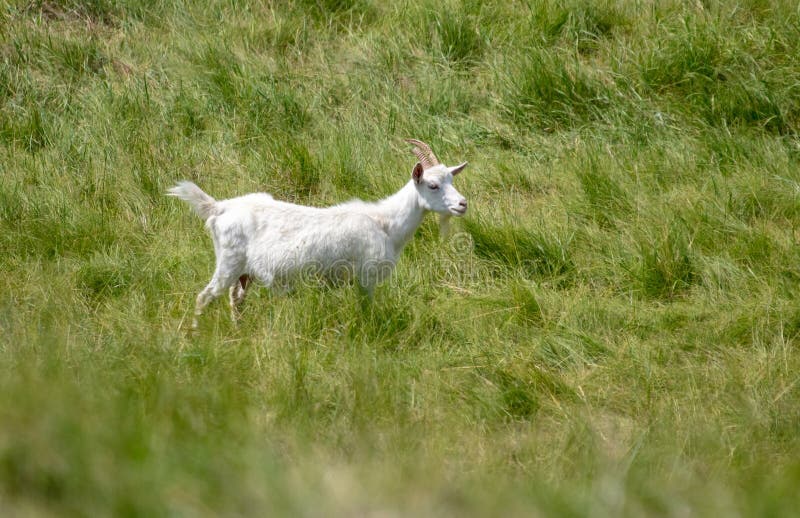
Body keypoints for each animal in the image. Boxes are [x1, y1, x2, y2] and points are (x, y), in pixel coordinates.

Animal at [168, 139, 468, 329]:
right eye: (432, 185)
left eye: (452, 180)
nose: (463, 204)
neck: (385, 223)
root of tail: (220, 207)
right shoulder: (366, 277)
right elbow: (366, 310)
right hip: (228, 263)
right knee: (204, 297)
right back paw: (194, 335)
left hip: (244, 272)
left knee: (235, 300)